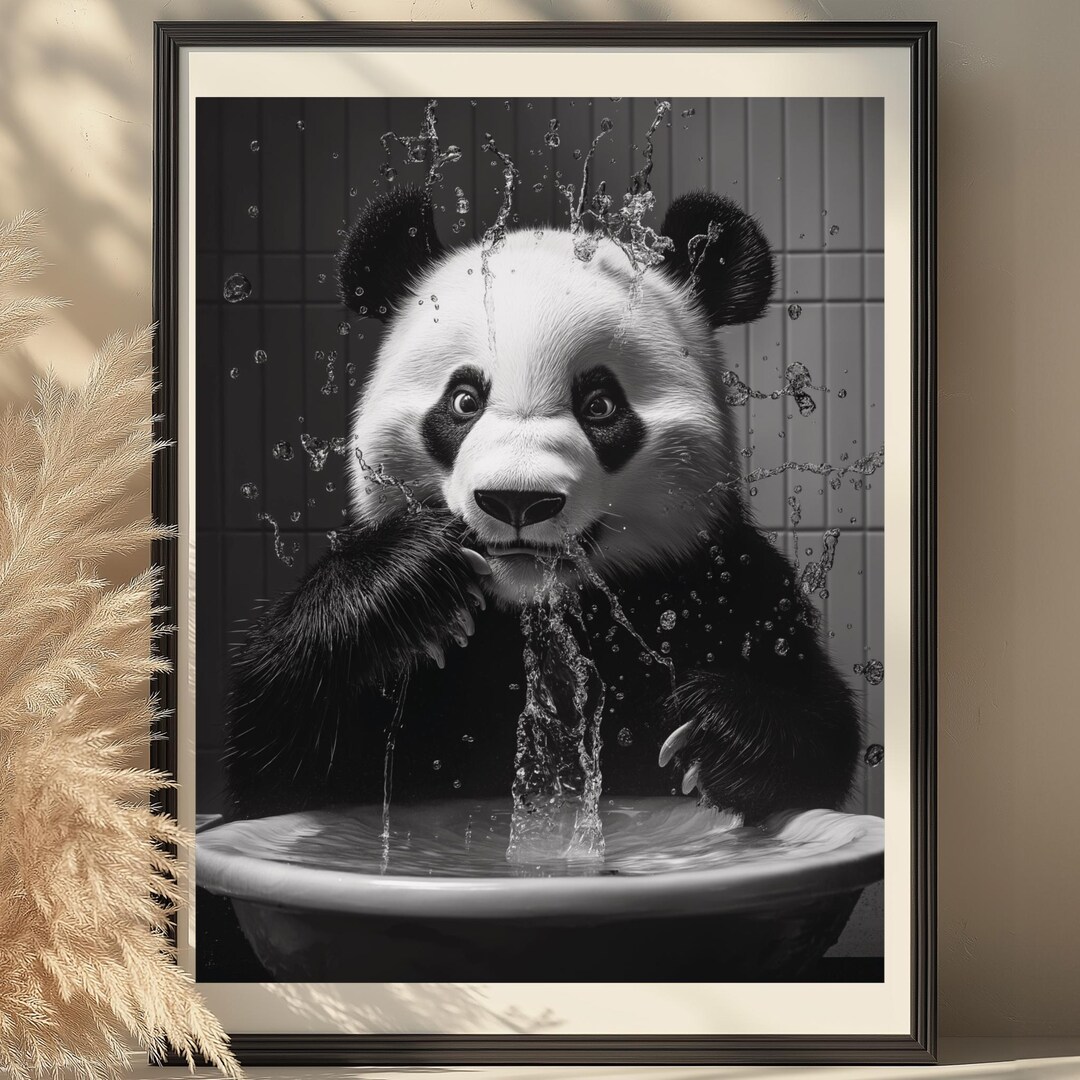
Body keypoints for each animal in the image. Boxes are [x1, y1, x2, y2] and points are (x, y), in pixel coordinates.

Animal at [224, 186, 861, 824]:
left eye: (600, 405)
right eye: (464, 400)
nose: (517, 501)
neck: (528, 600)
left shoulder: (720, 580)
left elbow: (821, 724)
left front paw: (710, 734)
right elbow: (275, 762)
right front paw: (406, 583)